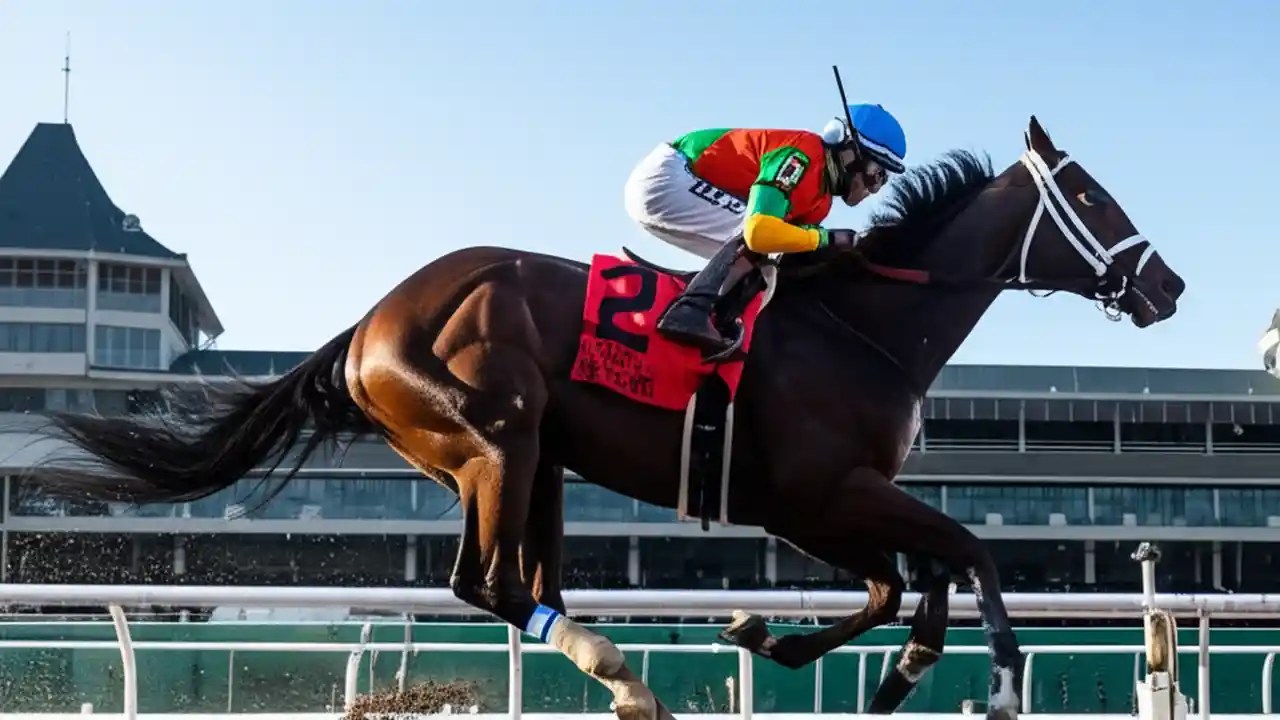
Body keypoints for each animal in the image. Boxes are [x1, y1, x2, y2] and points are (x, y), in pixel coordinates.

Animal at [25, 116, 1184, 720]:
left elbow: (905, 583)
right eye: (1096, 199)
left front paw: (793, 642)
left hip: (531, 459)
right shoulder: (817, 492)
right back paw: (620, 675)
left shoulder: (814, 505)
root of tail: (367, 325)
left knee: (516, 582)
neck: (862, 322)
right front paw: (996, 682)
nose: (1166, 286)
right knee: (488, 583)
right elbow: (963, 553)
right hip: (497, 433)